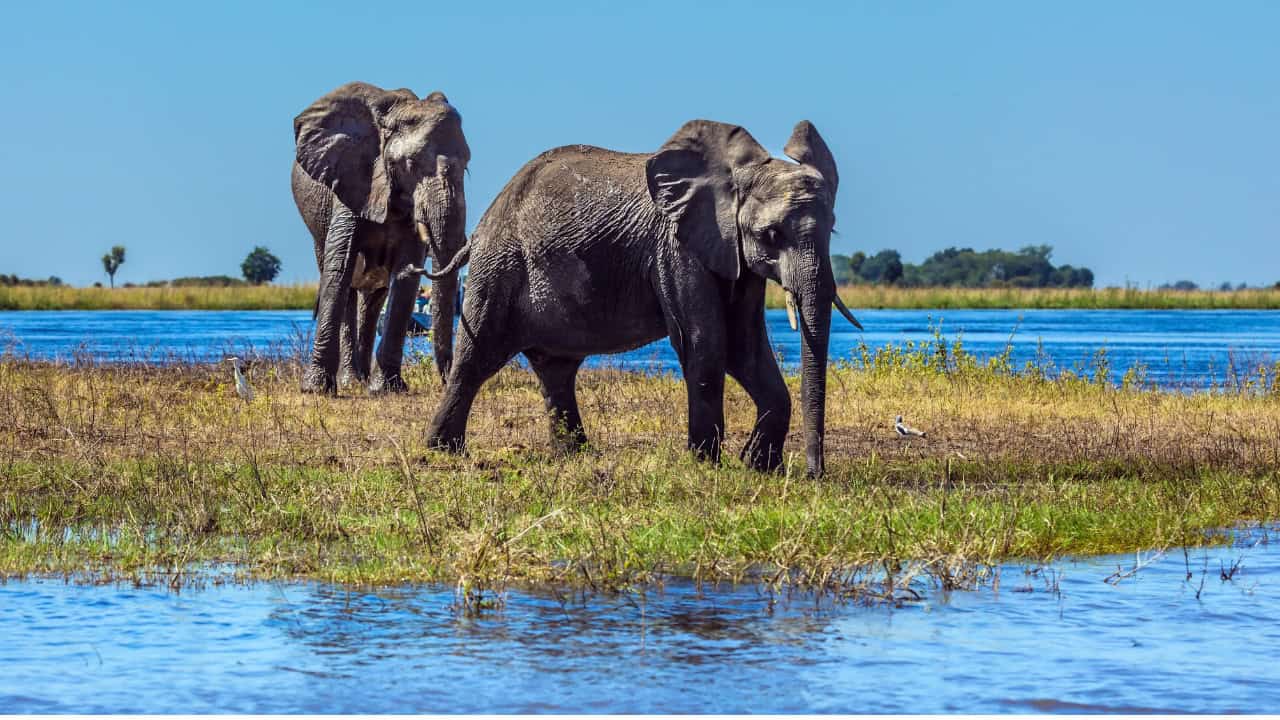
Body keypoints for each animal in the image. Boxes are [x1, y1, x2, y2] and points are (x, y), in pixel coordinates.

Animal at [291, 81, 470, 395]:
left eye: (467, 165)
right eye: (410, 163)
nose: (447, 380)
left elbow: (404, 279)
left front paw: (387, 389)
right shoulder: (352, 179)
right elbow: (339, 268)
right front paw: (316, 389)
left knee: (374, 299)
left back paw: (362, 380)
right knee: (346, 286)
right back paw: (351, 381)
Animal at [424, 119, 861, 476]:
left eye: (833, 230)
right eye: (771, 234)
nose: (815, 475)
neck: (736, 175)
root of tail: (483, 224)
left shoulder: (734, 255)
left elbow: (745, 346)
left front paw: (758, 466)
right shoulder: (675, 246)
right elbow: (705, 341)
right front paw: (705, 463)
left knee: (556, 370)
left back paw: (575, 454)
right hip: (498, 266)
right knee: (475, 359)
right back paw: (442, 452)